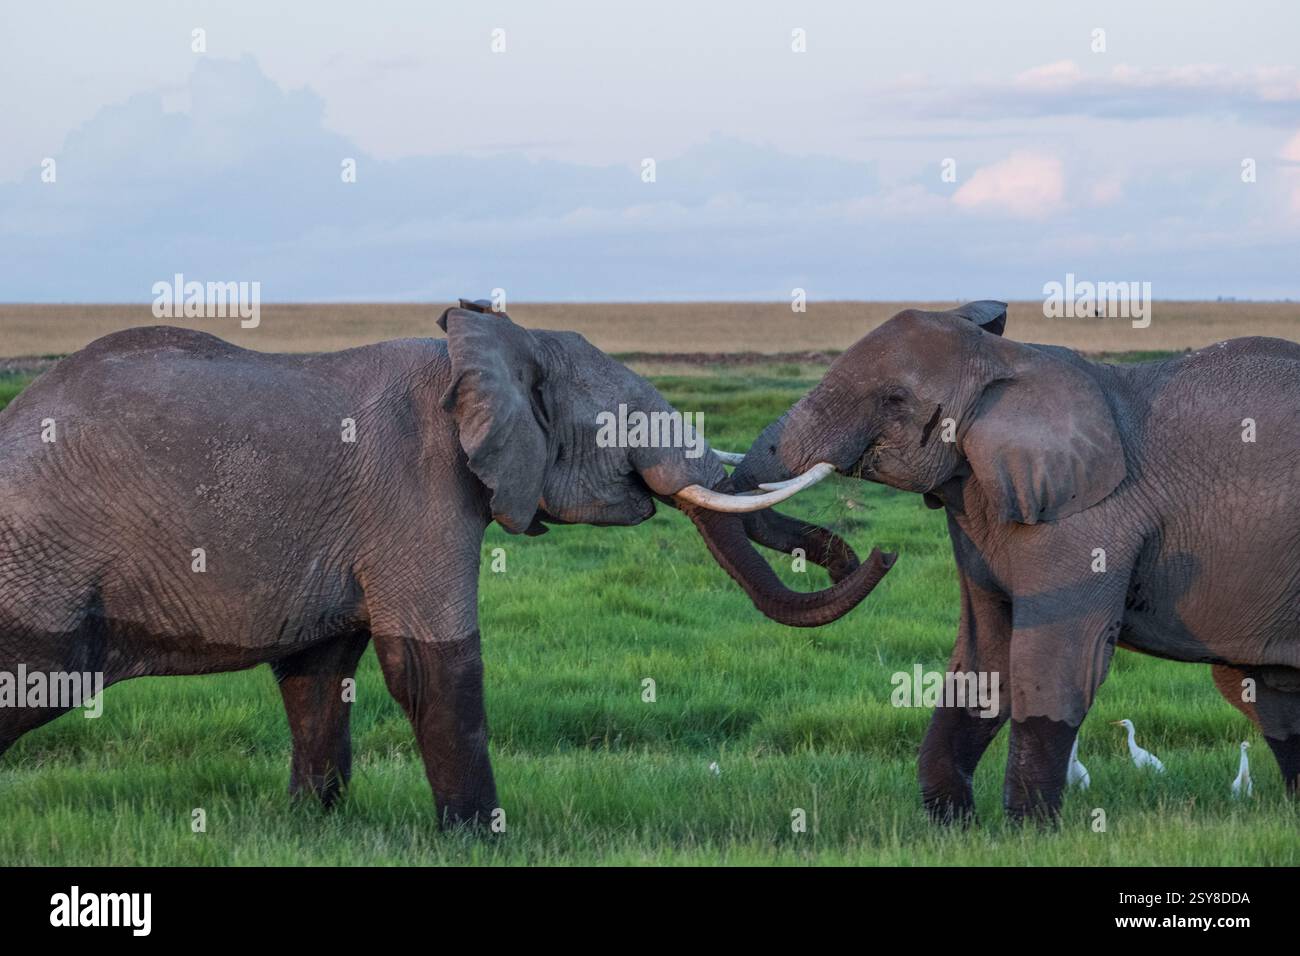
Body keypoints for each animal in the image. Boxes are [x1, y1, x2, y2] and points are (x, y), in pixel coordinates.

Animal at [0, 299, 891, 827]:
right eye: (624, 424)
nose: (867, 552)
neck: (486, 345)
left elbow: (320, 674)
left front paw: (313, 826)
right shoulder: (414, 487)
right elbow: (434, 666)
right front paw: (482, 839)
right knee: (34, 678)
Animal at [727, 300, 1300, 822]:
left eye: (893, 399)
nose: (877, 556)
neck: (1008, 360)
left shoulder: (1088, 516)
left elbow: (1057, 658)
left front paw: (1029, 831)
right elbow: (984, 657)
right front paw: (954, 828)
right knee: (1261, 693)